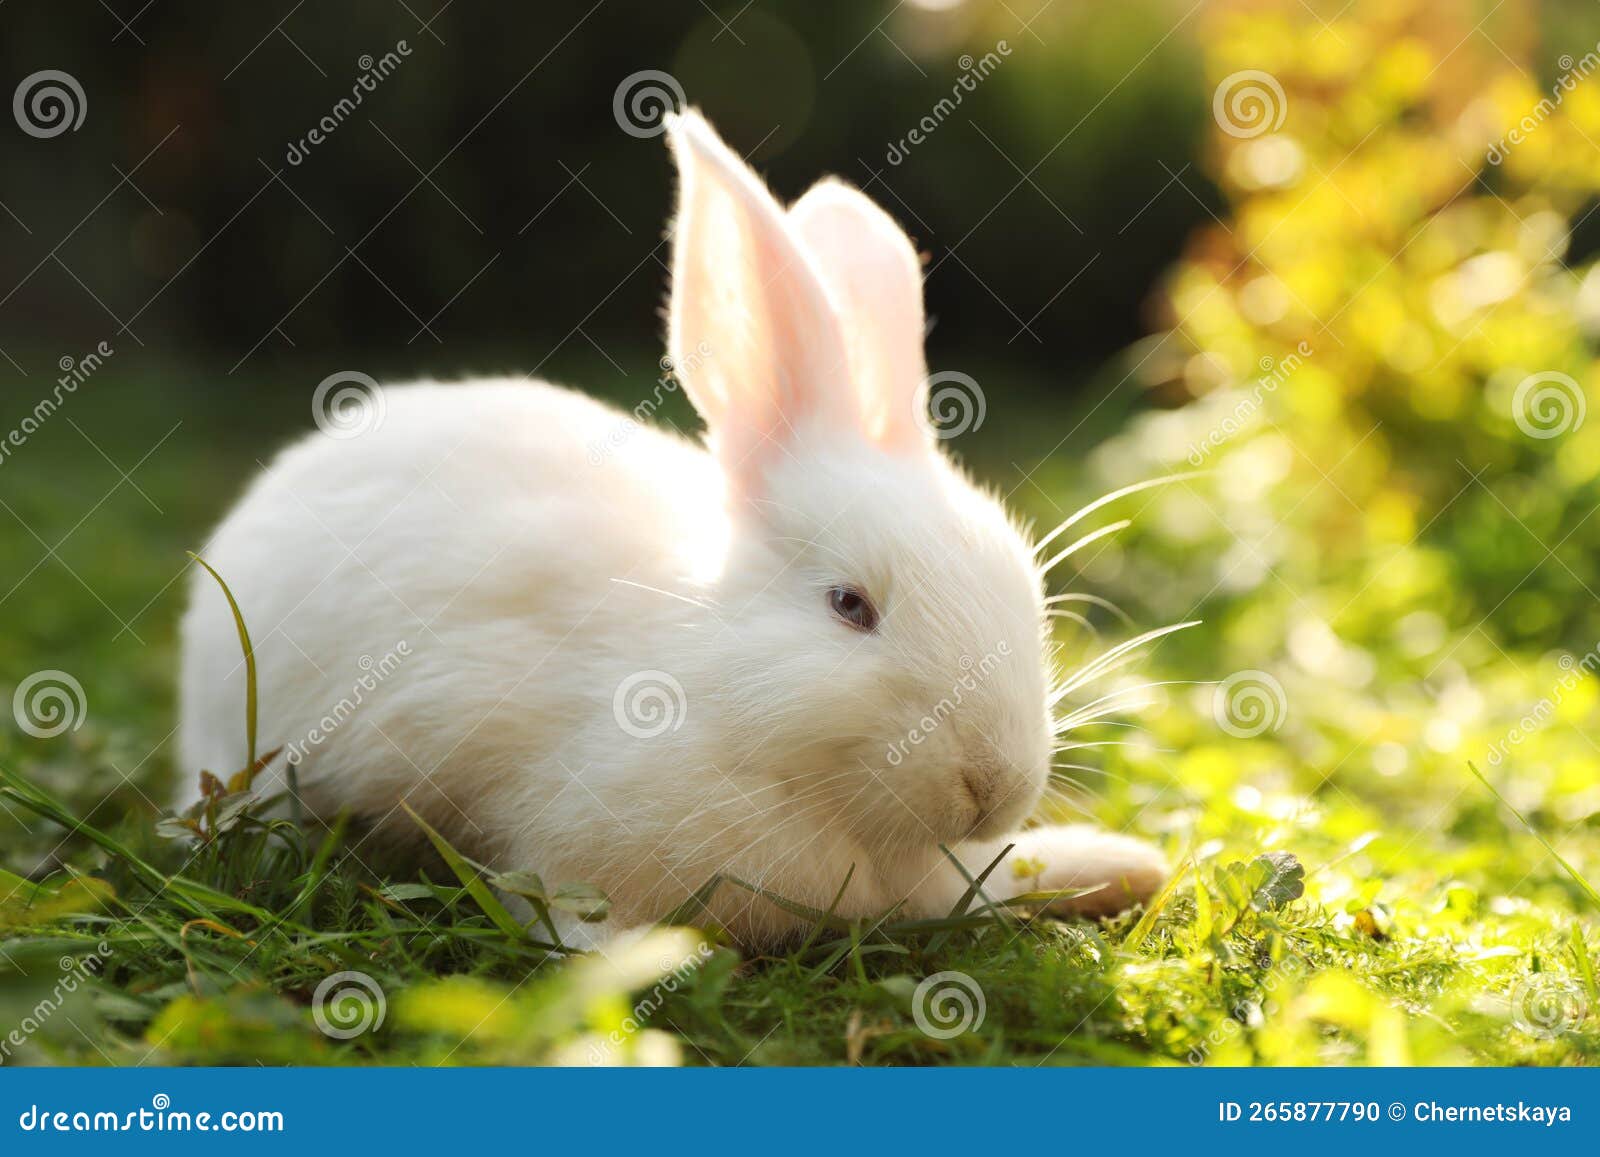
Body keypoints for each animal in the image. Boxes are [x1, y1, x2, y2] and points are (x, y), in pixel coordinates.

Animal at [176, 110, 1170, 949]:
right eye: (849, 605)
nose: (994, 788)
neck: (717, 686)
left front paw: (1124, 865)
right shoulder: (559, 830)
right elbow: (563, 910)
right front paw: (648, 966)